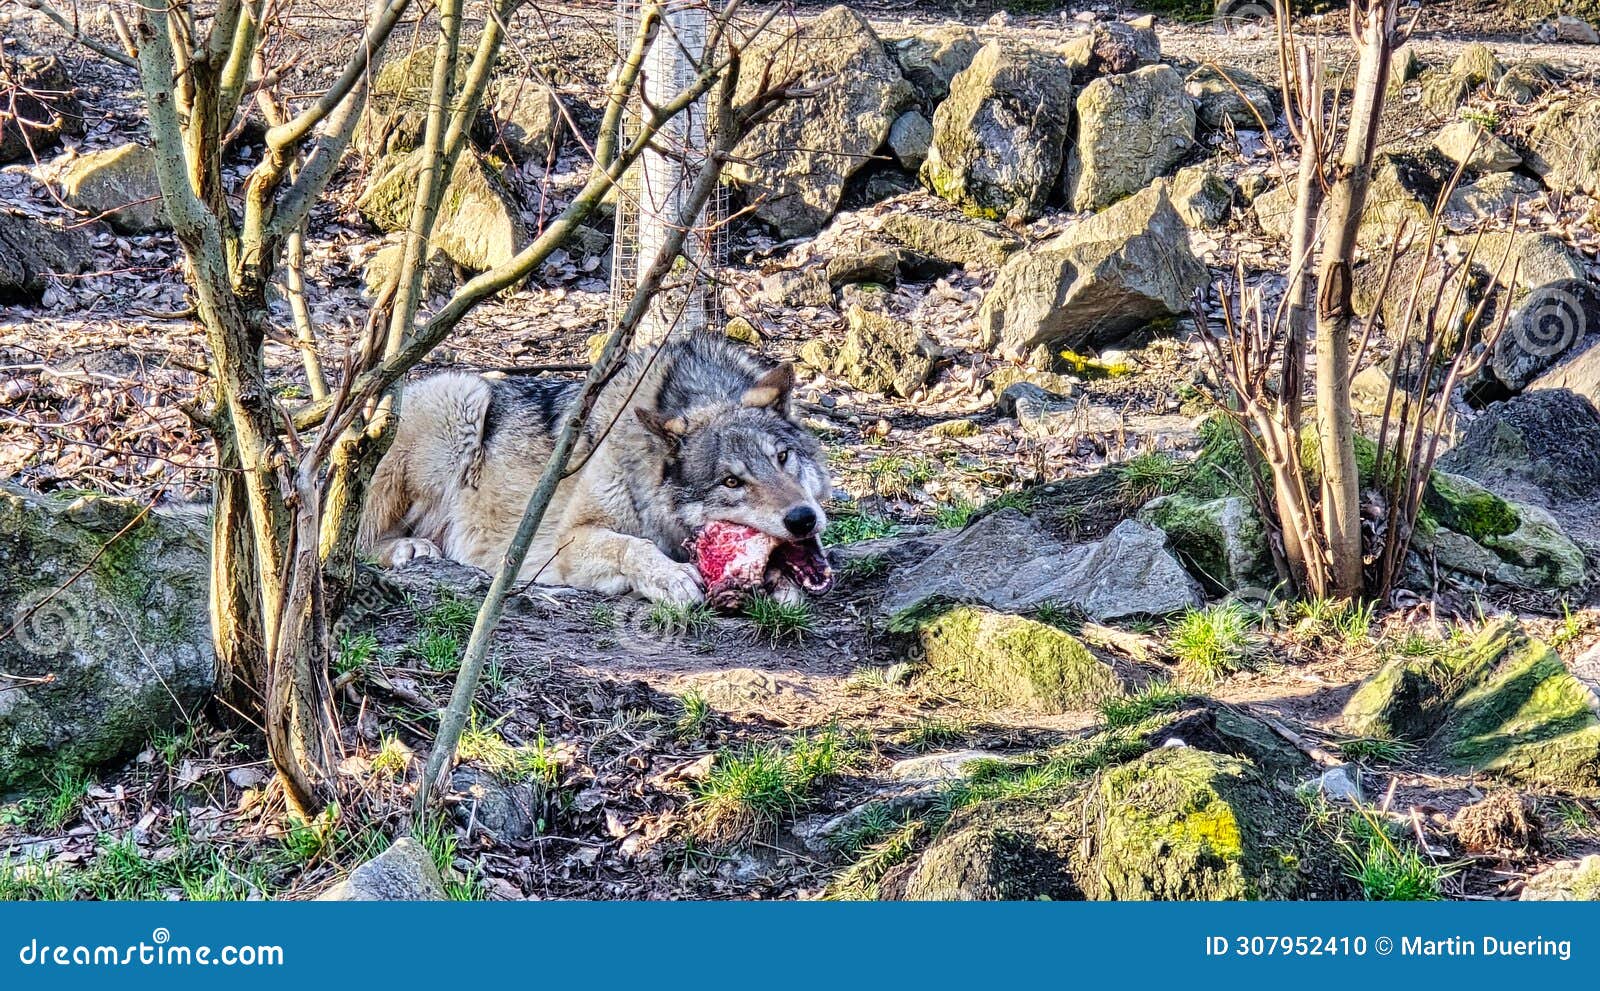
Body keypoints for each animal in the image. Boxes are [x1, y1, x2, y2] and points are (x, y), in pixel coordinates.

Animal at [358, 334, 834, 605]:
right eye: (732, 481)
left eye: (782, 458)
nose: (802, 518)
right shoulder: (568, 541)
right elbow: (633, 546)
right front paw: (671, 577)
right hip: (460, 396)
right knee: (348, 543)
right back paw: (407, 548)